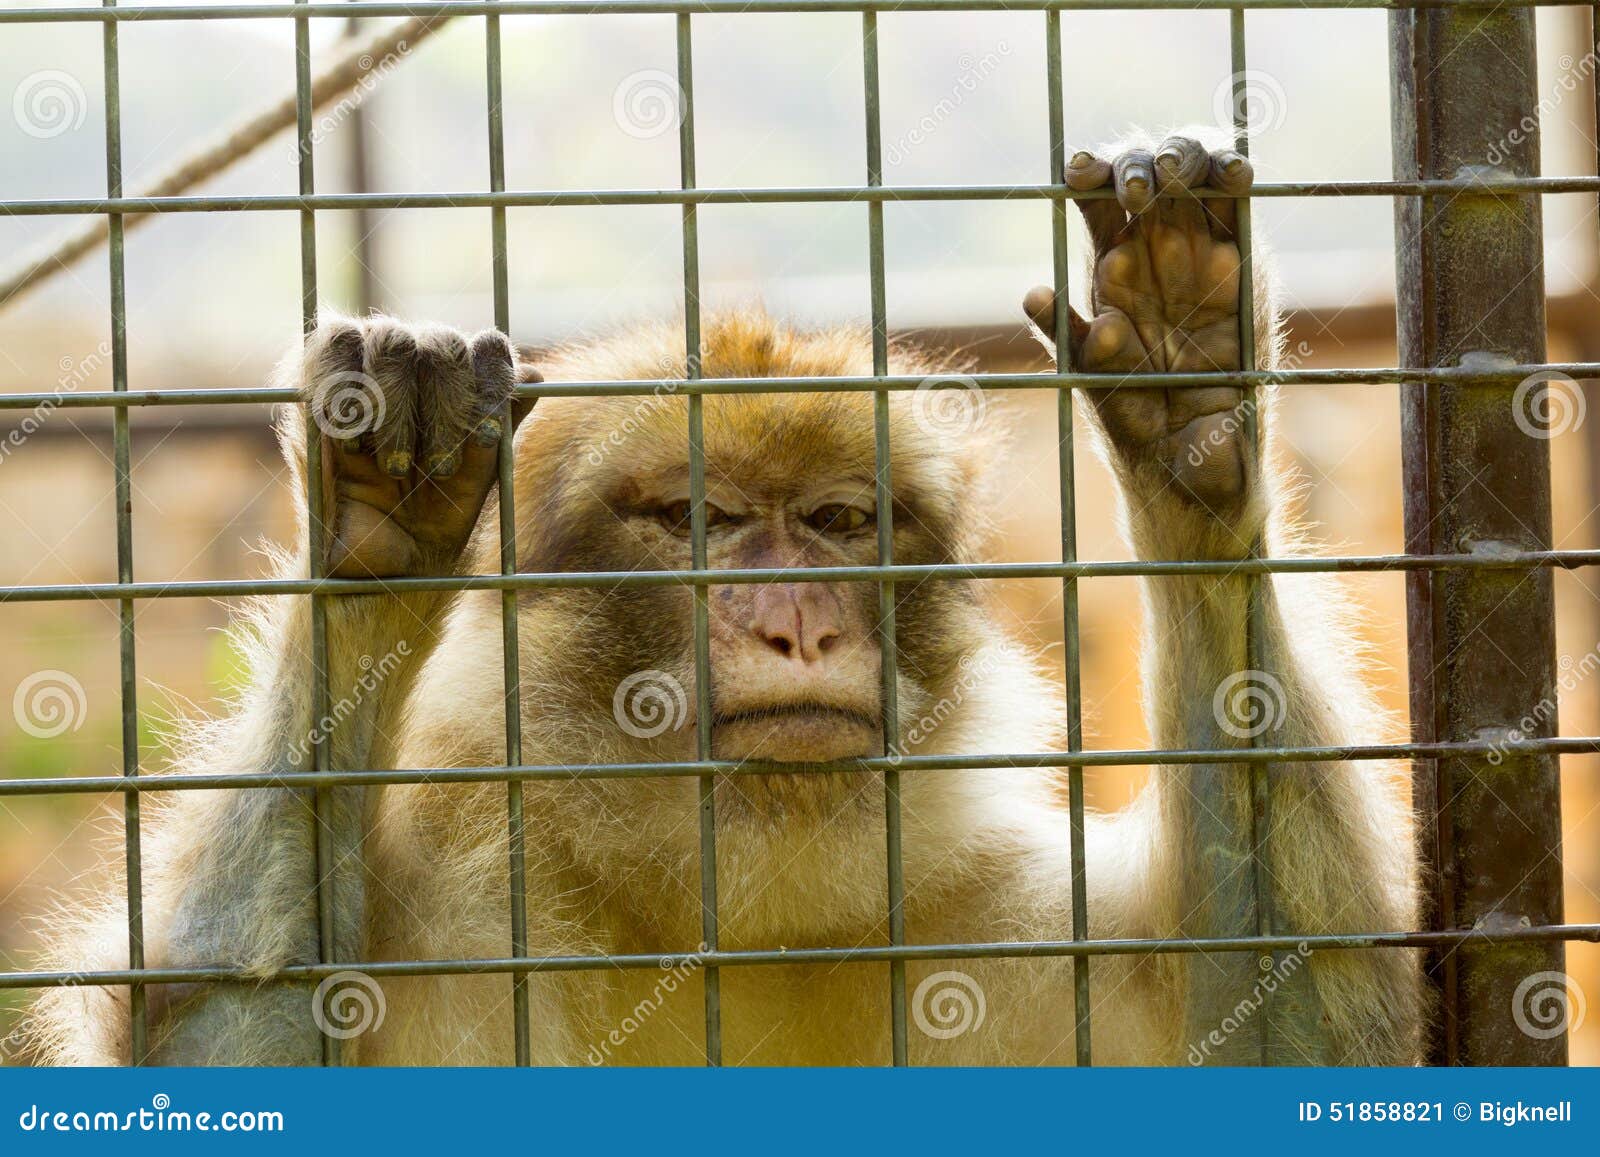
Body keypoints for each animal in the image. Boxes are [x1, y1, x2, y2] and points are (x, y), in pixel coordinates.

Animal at [21, 133, 1421, 1066]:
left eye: (841, 523)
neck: (725, 911)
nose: (799, 622)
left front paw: (1191, 419)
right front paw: (374, 541)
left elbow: (1294, 1023)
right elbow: (223, 1042)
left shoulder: (1004, 928)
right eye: (702, 522)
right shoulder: (464, 920)